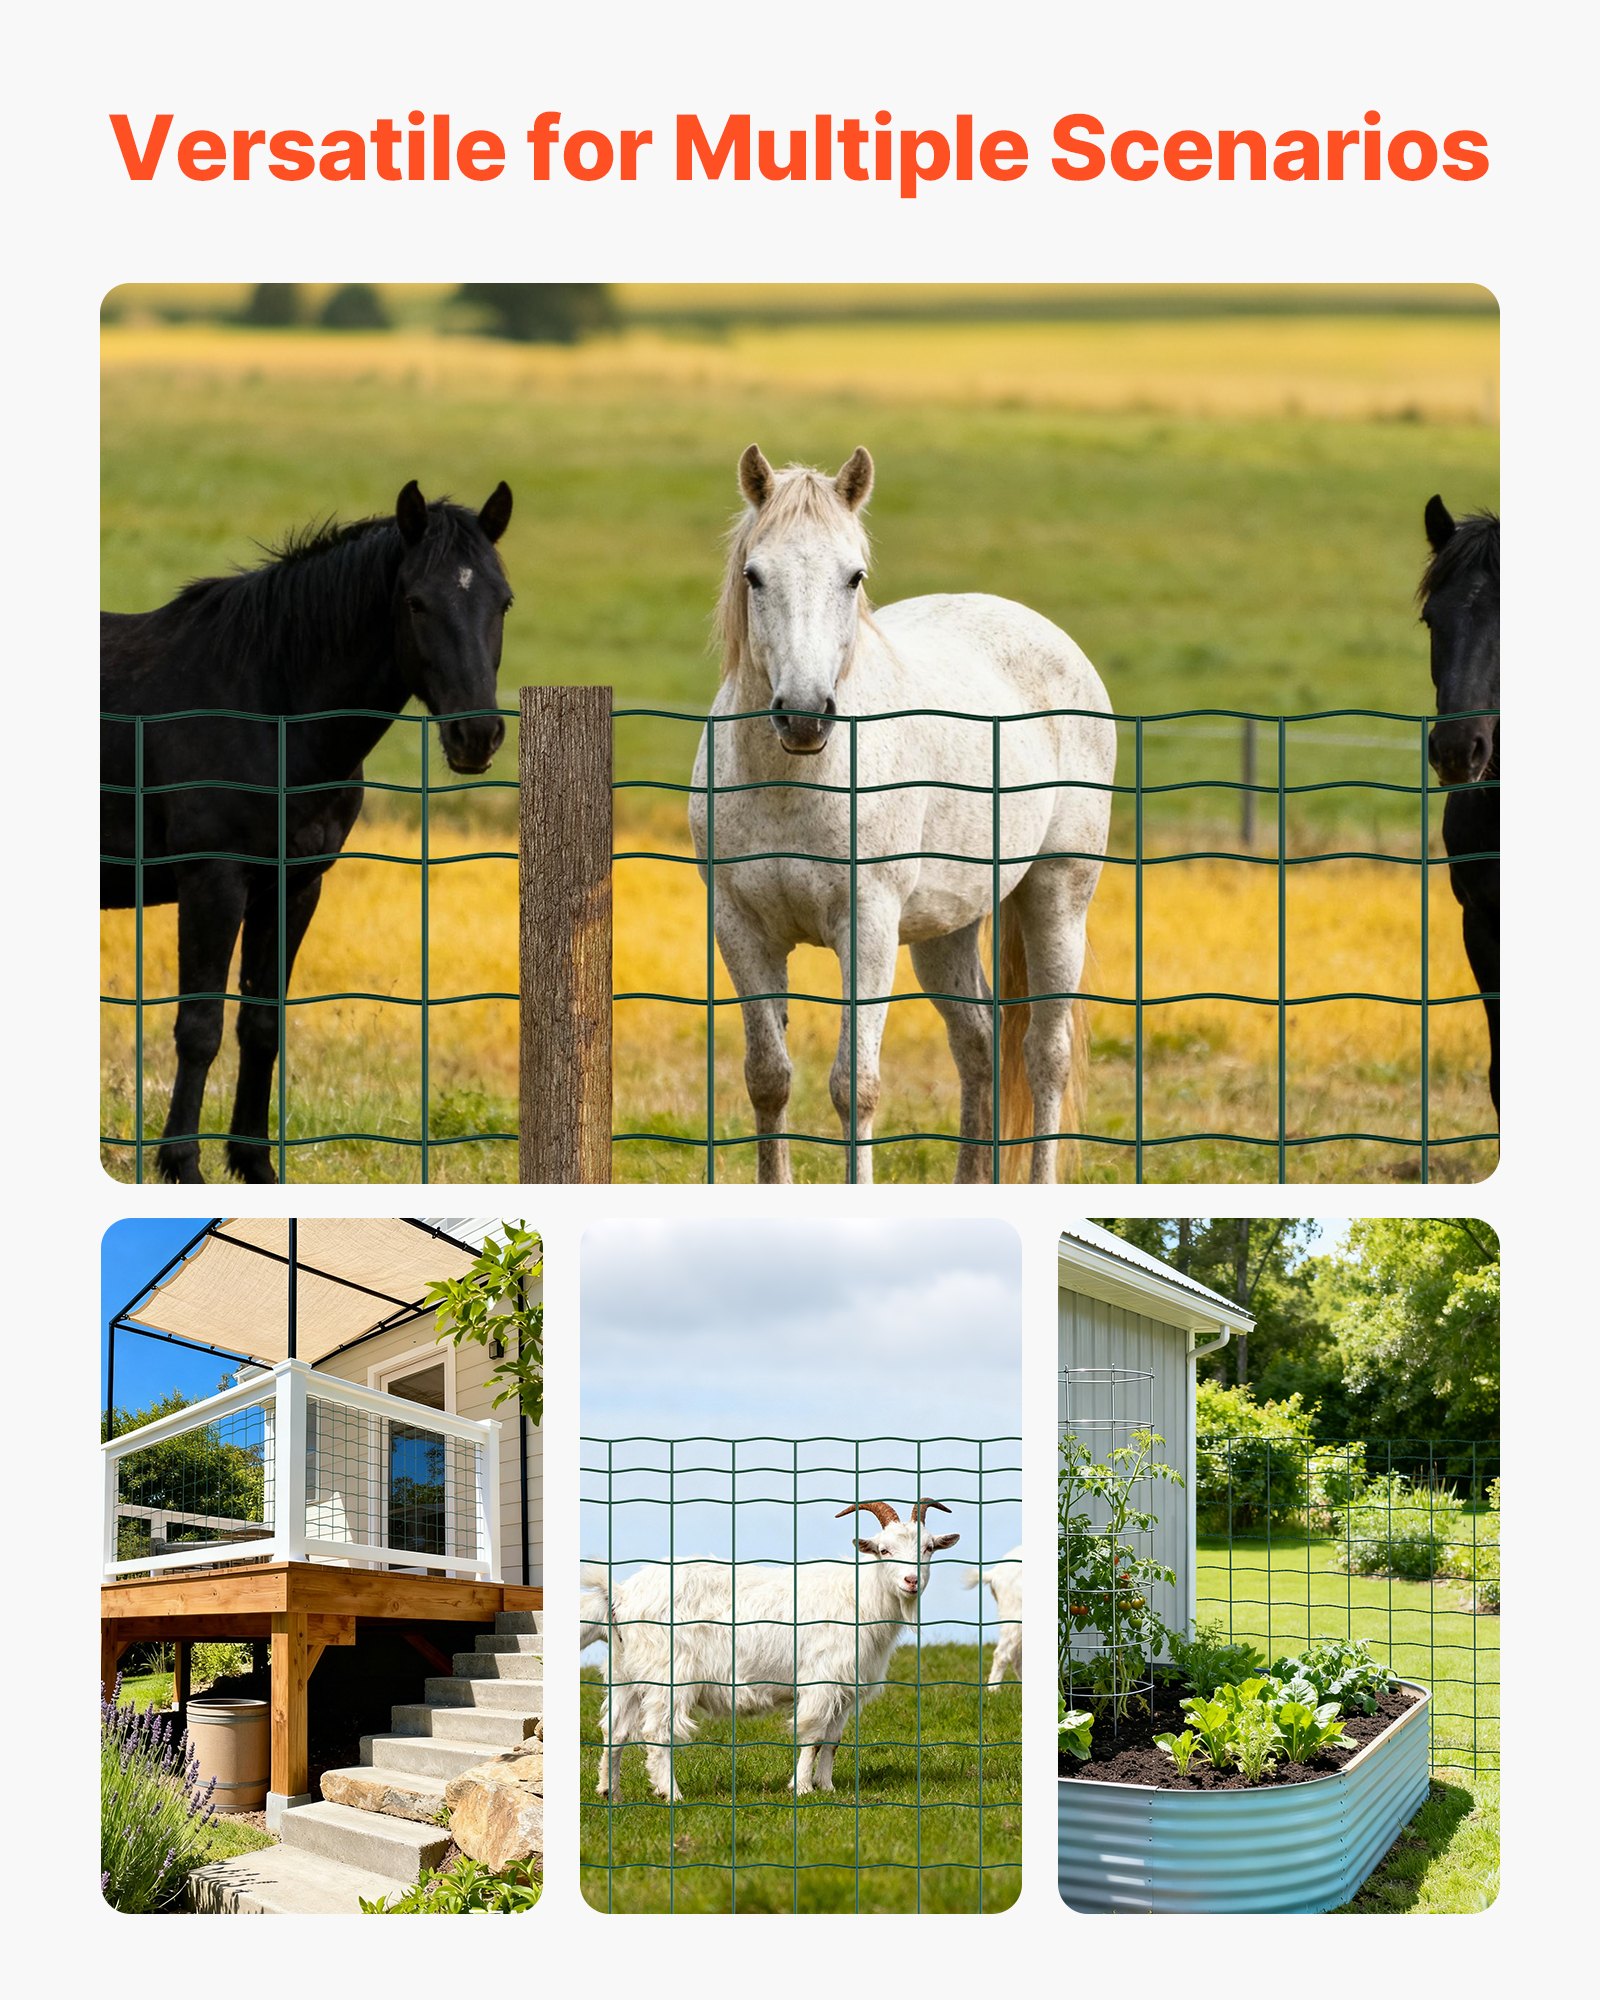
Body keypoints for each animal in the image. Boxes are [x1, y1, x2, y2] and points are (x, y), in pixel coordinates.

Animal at [583, 1499, 960, 1801]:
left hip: (625, 1671)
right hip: (668, 1673)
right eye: (884, 1550)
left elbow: (833, 1740)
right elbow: (812, 1735)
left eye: (928, 1548)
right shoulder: (821, 1680)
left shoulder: (846, 1688)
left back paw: (610, 1791)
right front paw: (803, 1788)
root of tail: (622, 1594)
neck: (859, 1598)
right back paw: (670, 1793)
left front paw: (828, 1787)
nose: (911, 1581)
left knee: (614, 1730)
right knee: (657, 1731)